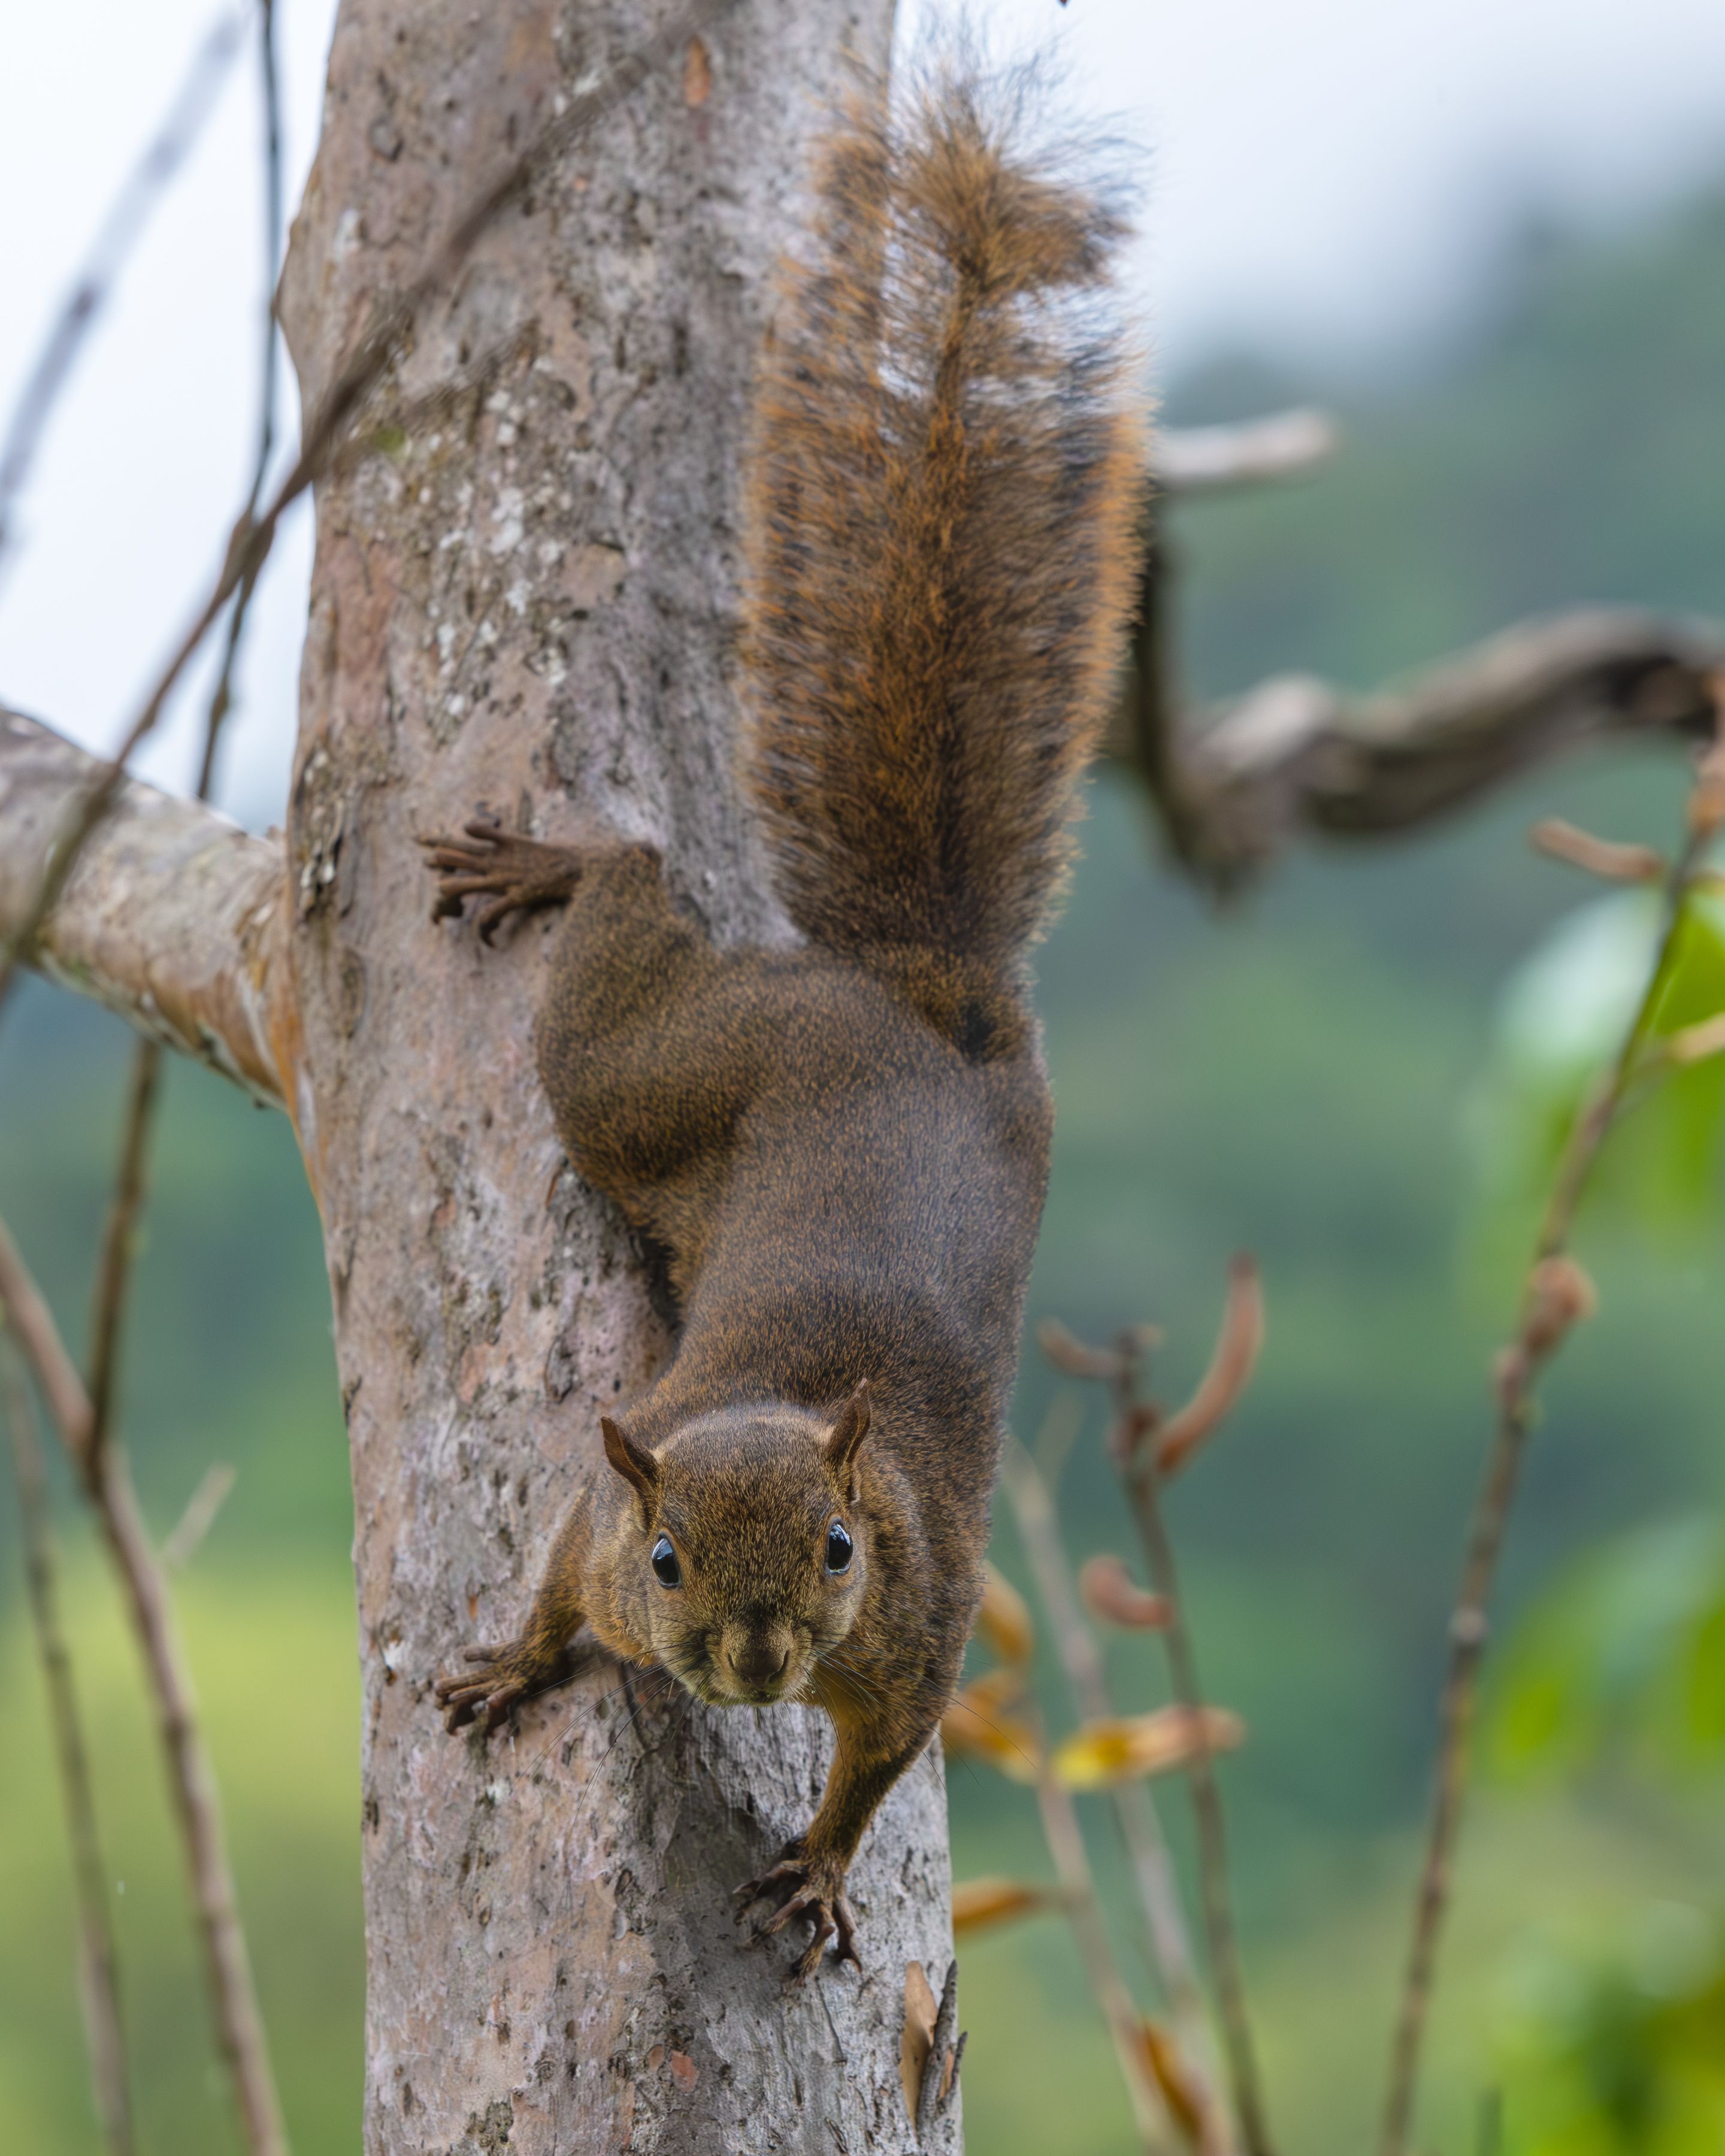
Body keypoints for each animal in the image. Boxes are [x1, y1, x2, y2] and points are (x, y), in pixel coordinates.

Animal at [422, 55, 1143, 1984]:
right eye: (670, 1561)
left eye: (832, 1548)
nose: (747, 1665)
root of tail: (915, 1003)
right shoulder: (599, 1505)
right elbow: (551, 1579)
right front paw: (518, 1660)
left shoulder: (920, 1618)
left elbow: (881, 1761)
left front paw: (817, 1863)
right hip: (636, 1080)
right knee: (634, 895)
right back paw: (555, 859)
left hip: (649, 1079)